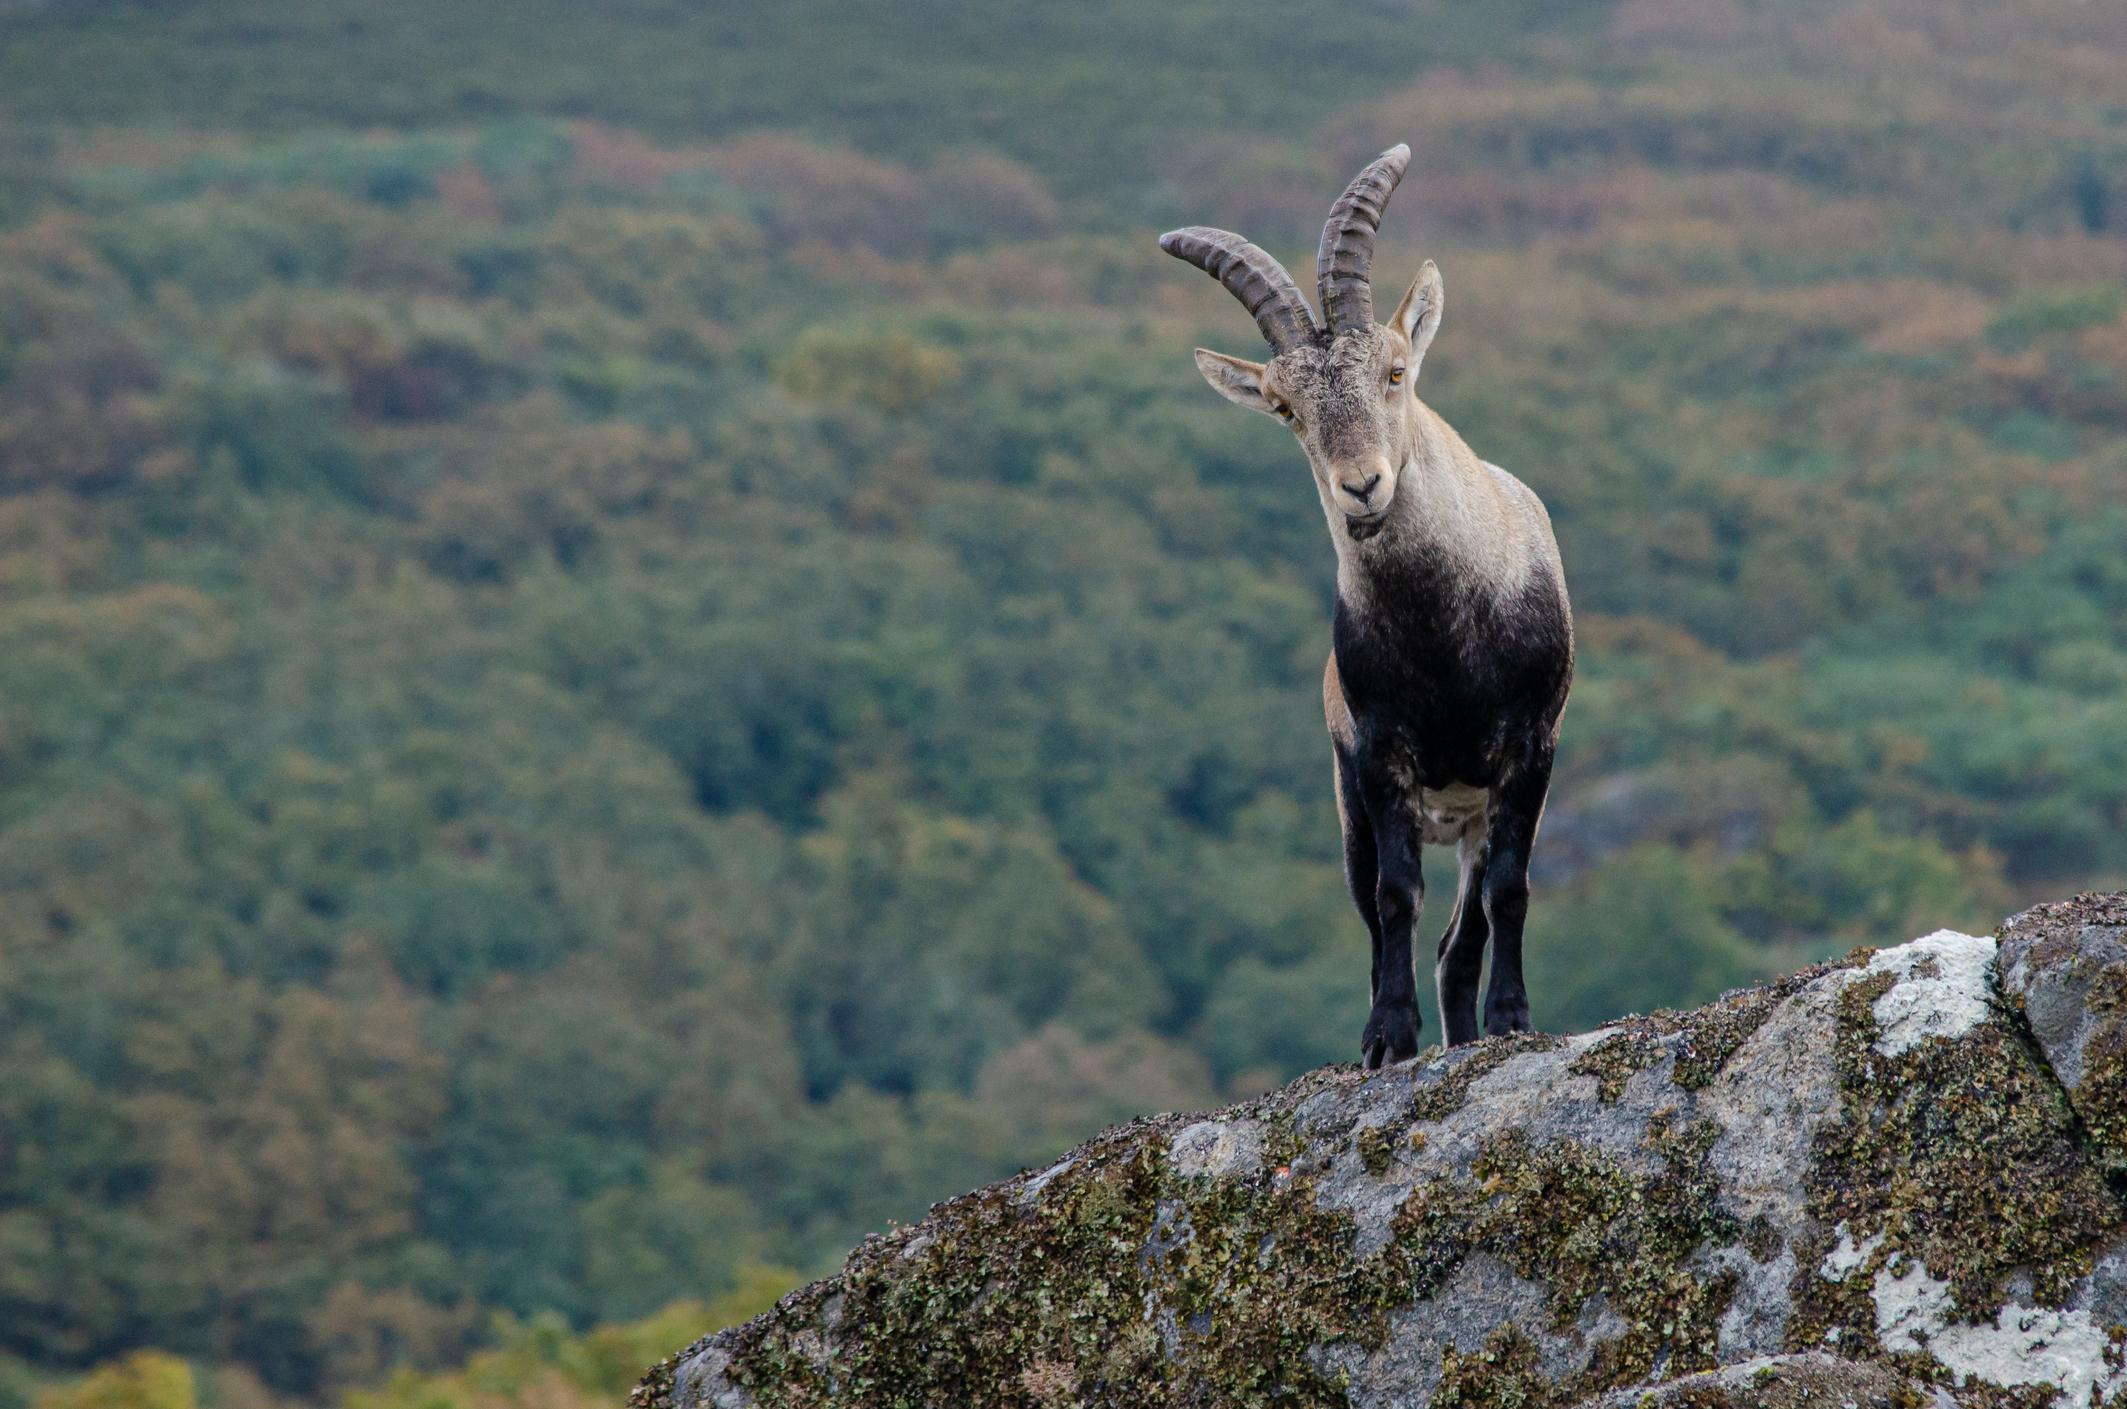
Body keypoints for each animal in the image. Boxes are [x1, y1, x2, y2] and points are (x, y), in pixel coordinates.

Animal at [1160, 145, 1573, 1062]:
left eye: (1393, 371)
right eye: (1285, 407)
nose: (1361, 487)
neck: (1443, 633)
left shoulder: (1529, 747)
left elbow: (1510, 890)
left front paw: (1512, 1020)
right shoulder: (1379, 758)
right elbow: (1393, 900)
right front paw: (1387, 1038)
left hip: (1473, 810)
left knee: (1461, 939)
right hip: (1356, 803)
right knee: (1401, 924)